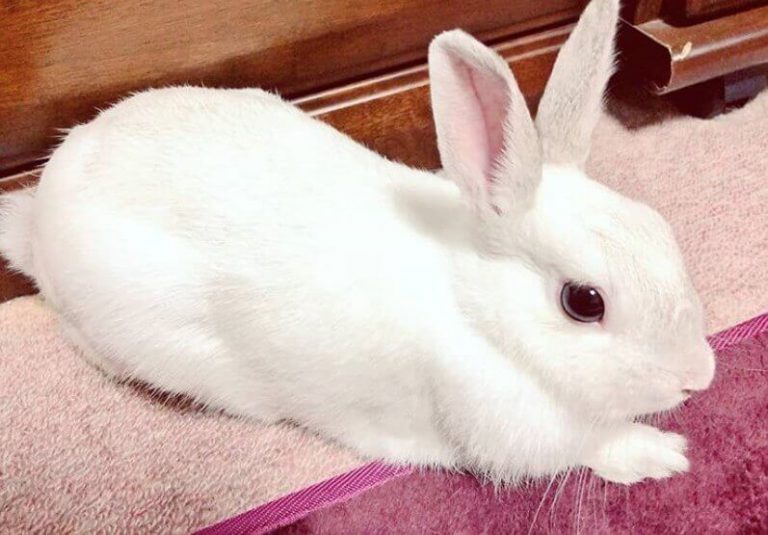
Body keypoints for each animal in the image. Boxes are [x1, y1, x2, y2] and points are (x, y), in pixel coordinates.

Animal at [0, 0, 715, 485]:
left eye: (661, 231)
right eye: (583, 302)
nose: (698, 377)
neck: (476, 306)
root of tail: (38, 214)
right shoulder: (513, 431)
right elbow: (590, 446)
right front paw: (664, 455)